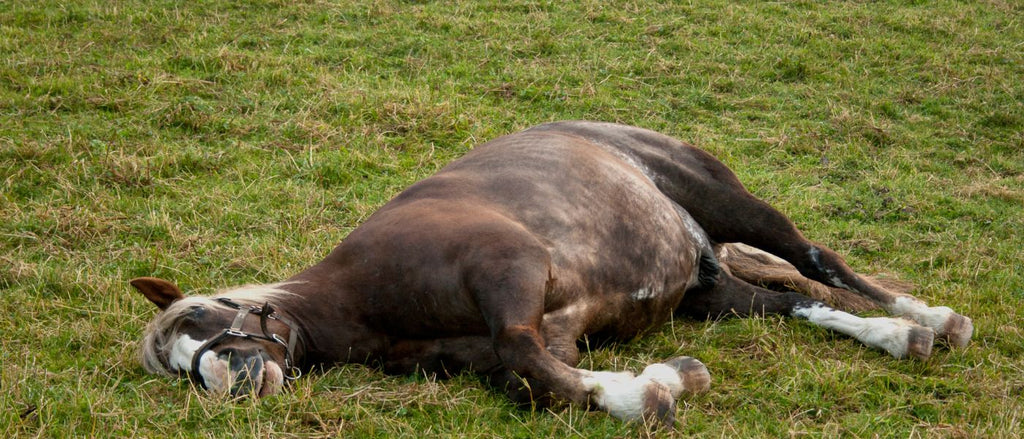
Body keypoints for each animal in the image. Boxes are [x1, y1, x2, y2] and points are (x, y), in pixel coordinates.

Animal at [131, 121, 973, 427]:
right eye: (177, 366)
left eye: (204, 313)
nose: (228, 380)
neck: (363, 296)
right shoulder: (540, 337)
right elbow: (537, 378)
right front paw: (664, 378)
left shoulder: (512, 271)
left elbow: (524, 353)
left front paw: (650, 392)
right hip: (710, 289)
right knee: (793, 300)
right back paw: (895, 334)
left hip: (732, 204)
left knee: (817, 259)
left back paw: (929, 317)